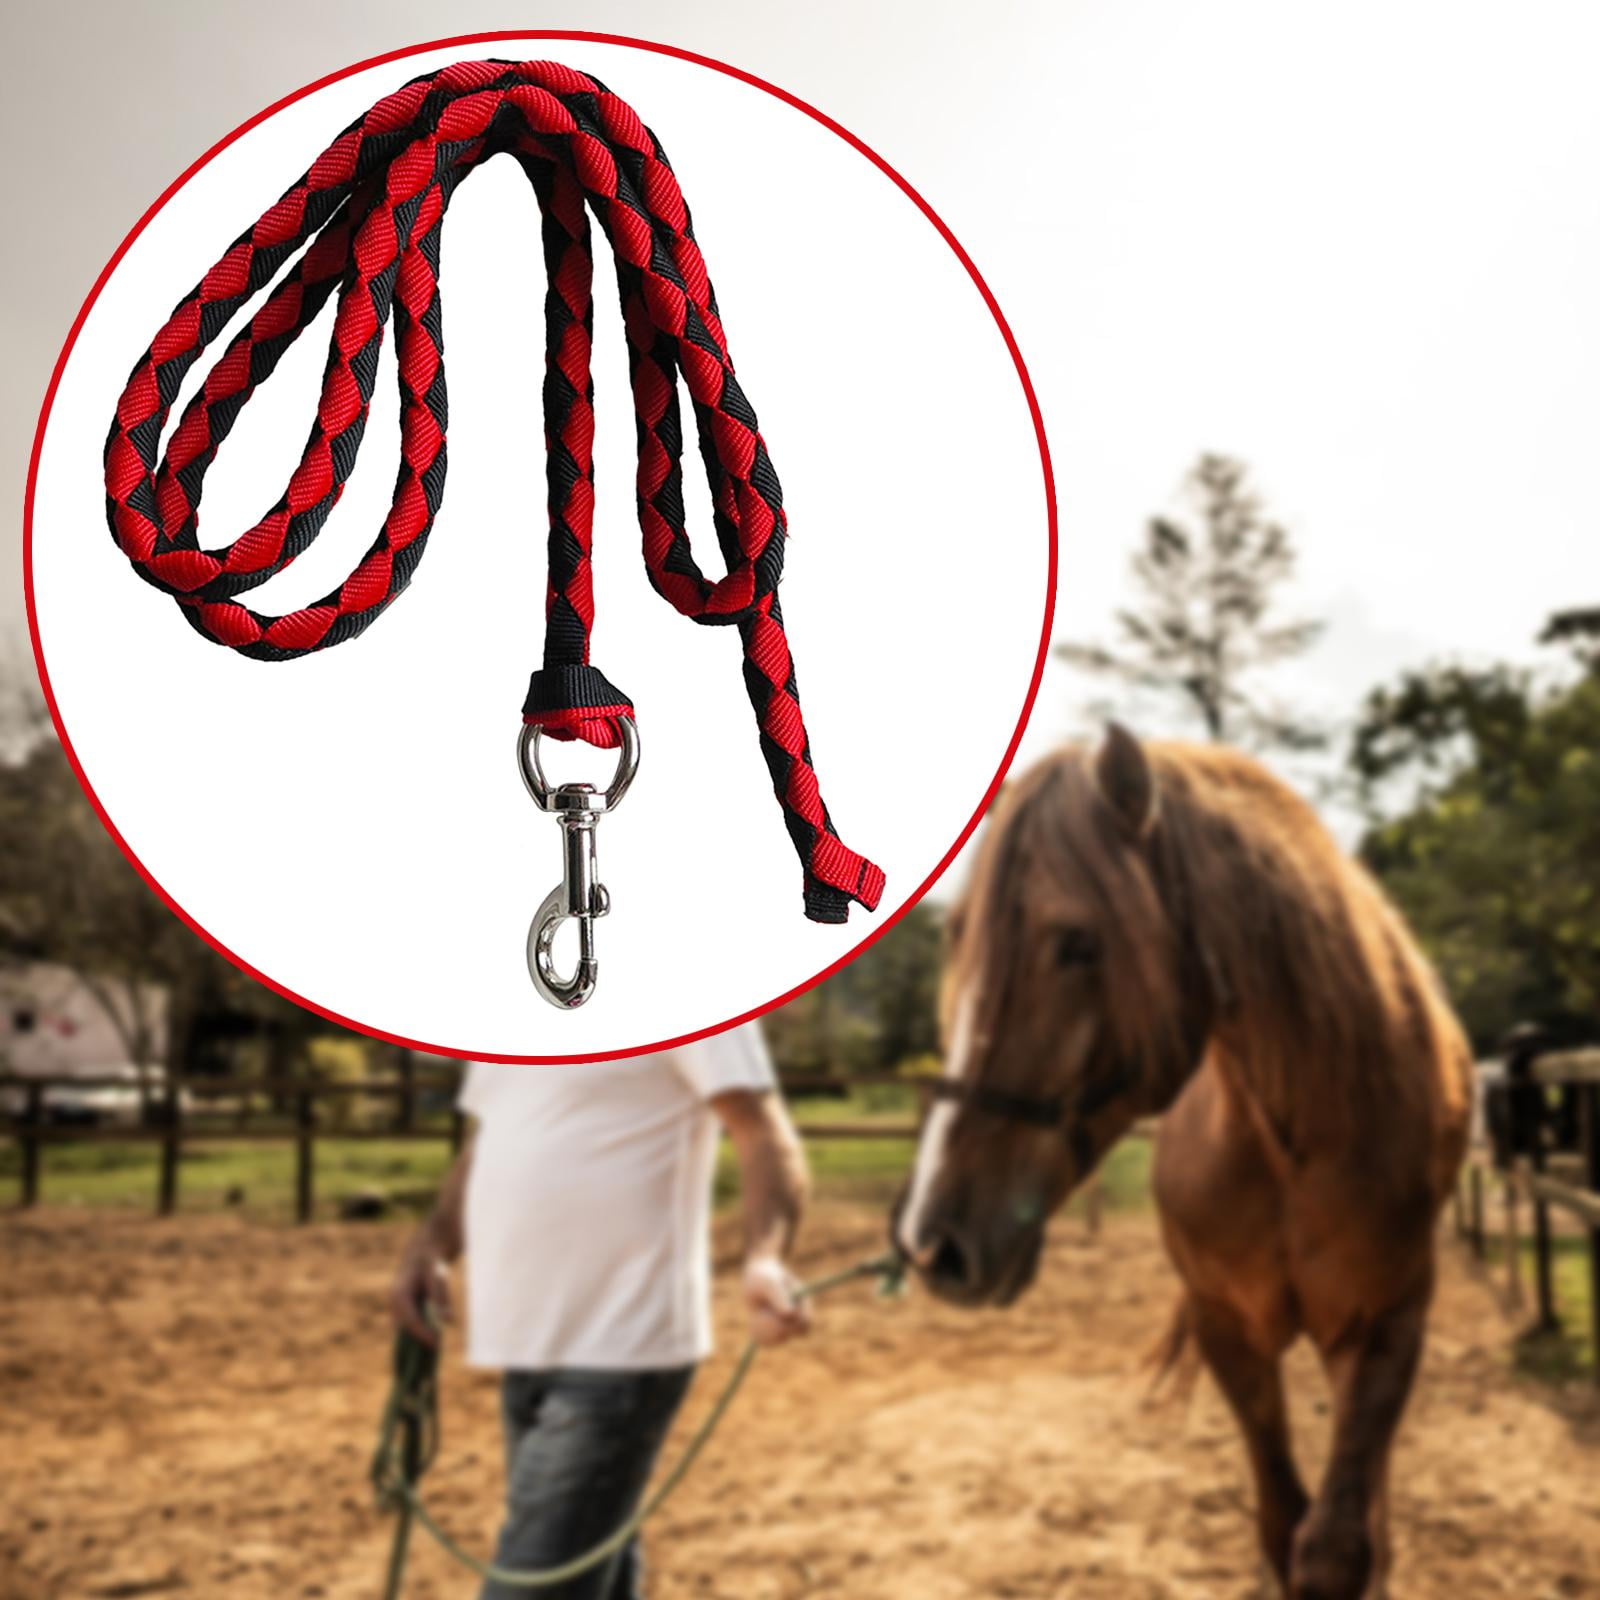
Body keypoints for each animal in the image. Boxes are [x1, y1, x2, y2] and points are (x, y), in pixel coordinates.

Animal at [894, 725, 1472, 1600]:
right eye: (958, 937)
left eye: (1079, 943)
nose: (933, 1243)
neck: (1287, 1137)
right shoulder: (1225, 1325)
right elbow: (1283, 1527)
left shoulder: (1384, 1327)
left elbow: (1337, 1546)